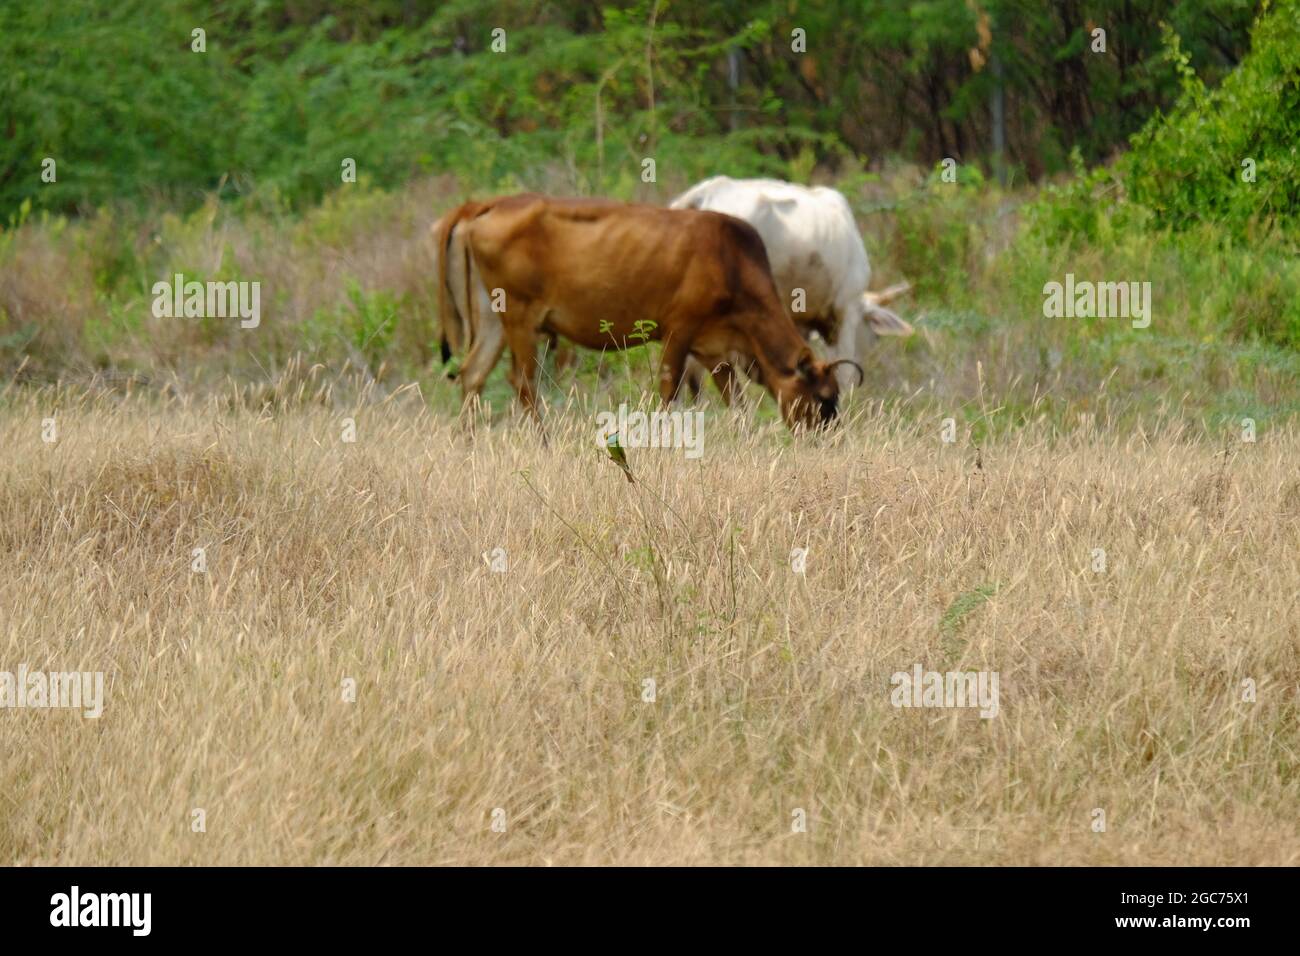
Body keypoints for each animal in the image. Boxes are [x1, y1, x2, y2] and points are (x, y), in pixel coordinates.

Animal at [433, 194, 857, 430]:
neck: (733, 262)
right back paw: (544, 443)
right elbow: (669, 394)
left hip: (494, 315)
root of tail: (485, 204)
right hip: (521, 317)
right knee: (523, 383)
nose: (828, 436)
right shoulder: (678, 331)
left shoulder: (716, 350)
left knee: (472, 374)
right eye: (824, 399)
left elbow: (737, 405)